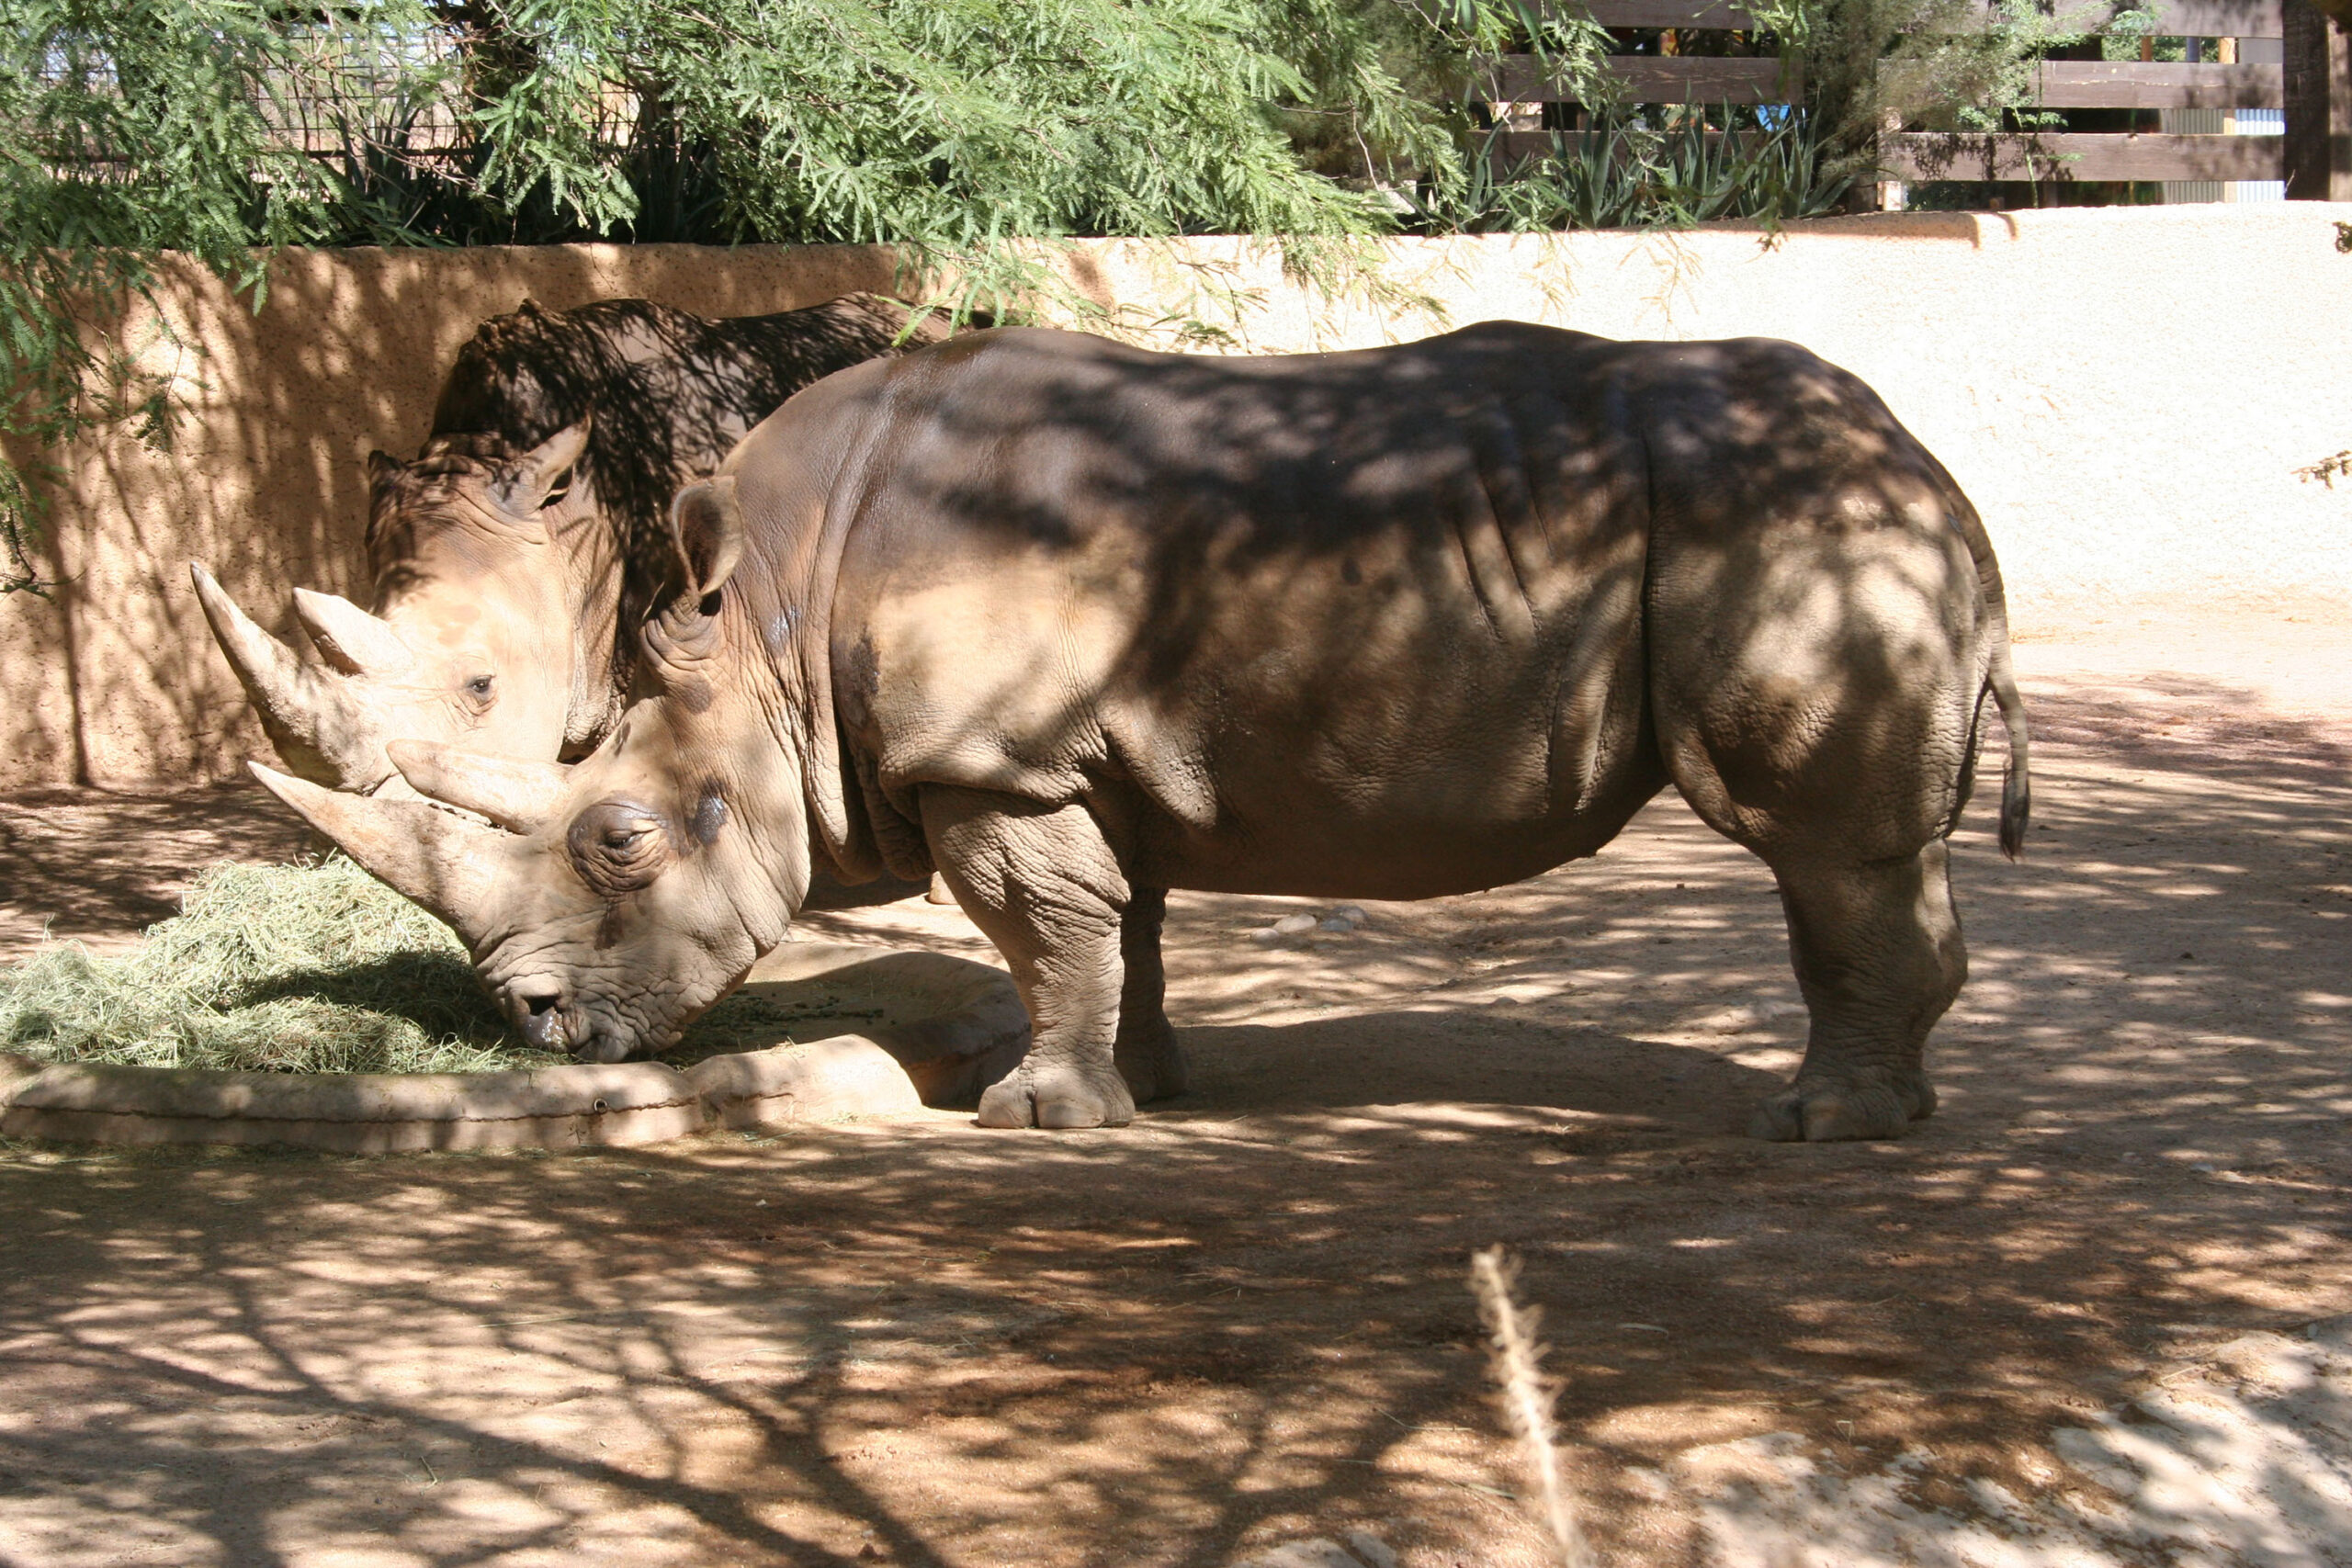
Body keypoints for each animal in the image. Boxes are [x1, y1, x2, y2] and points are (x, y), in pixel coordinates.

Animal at [256, 322, 2031, 1143]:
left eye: (618, 839)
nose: (538, 1024)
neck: (767, 628)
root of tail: (1937, 470)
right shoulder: (1072, 751)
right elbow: (1127, 918)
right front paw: (1150, 1087)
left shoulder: (990, 757)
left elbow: (1043, 926)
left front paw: (1032, 1118)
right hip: (1826, 519)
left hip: (1802, 523)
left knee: (1821, 844)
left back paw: (1828, 1128)